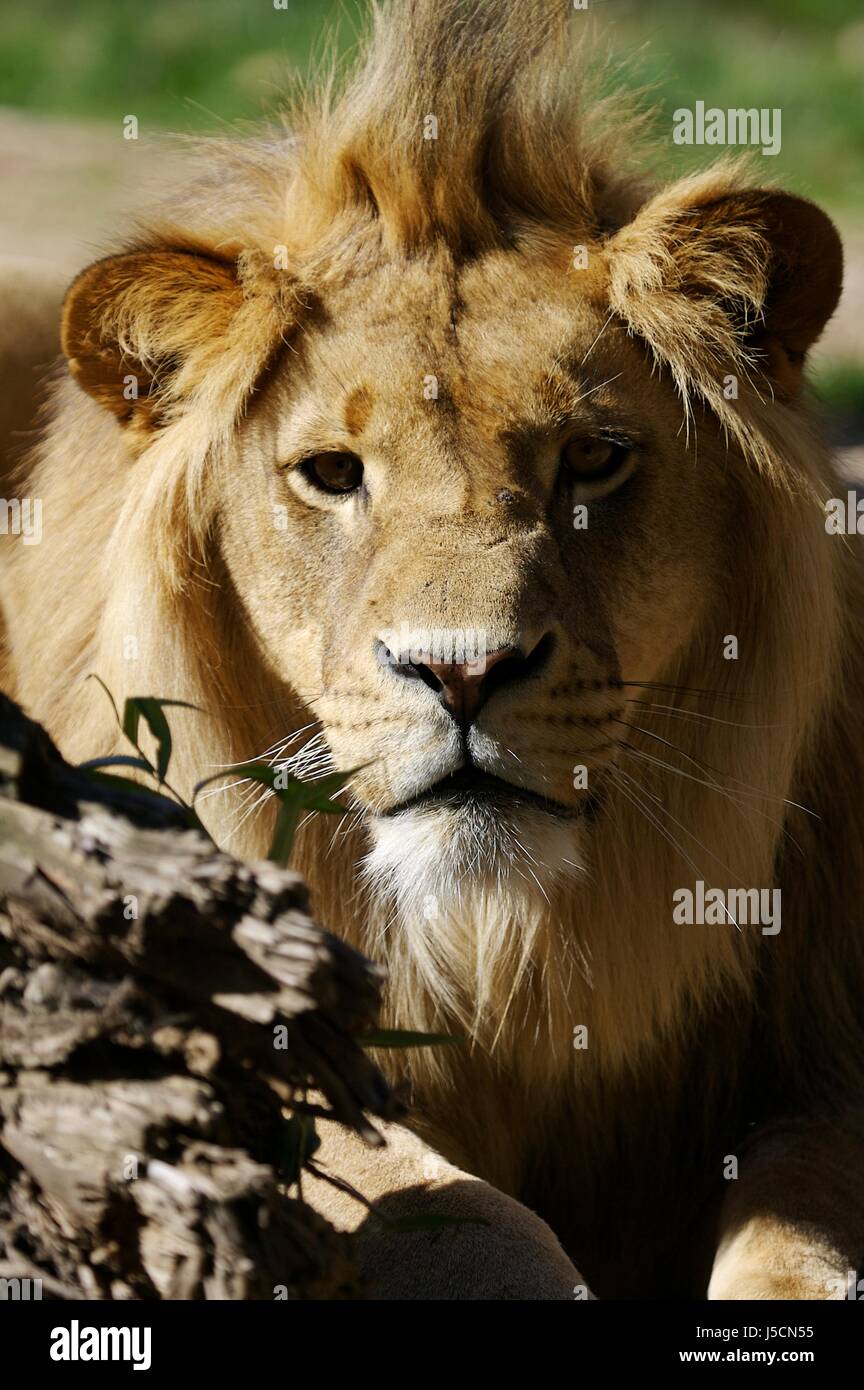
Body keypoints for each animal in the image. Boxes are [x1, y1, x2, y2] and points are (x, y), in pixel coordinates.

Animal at [2, 0, 864, 1300]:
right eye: (331, 473)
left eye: (592, 459)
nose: (463, 672)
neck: (500, 940)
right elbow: (443, 1213)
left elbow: (804, 1235)